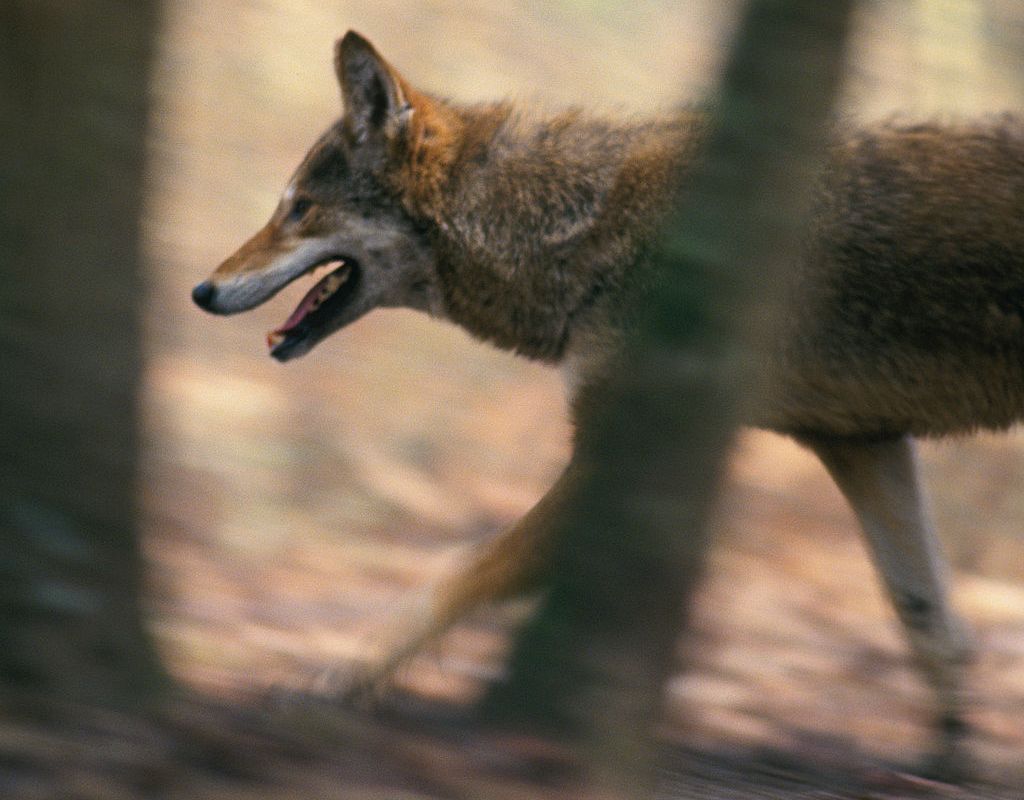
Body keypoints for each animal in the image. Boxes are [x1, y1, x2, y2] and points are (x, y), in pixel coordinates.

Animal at [193, 30, 1024, 768]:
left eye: (298, 208)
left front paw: (334, 682)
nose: (201, 290)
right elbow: (930, 623)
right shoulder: (860, 441)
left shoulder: (611, 457)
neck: (569, 223)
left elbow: (455, 575)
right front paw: (951, 761)